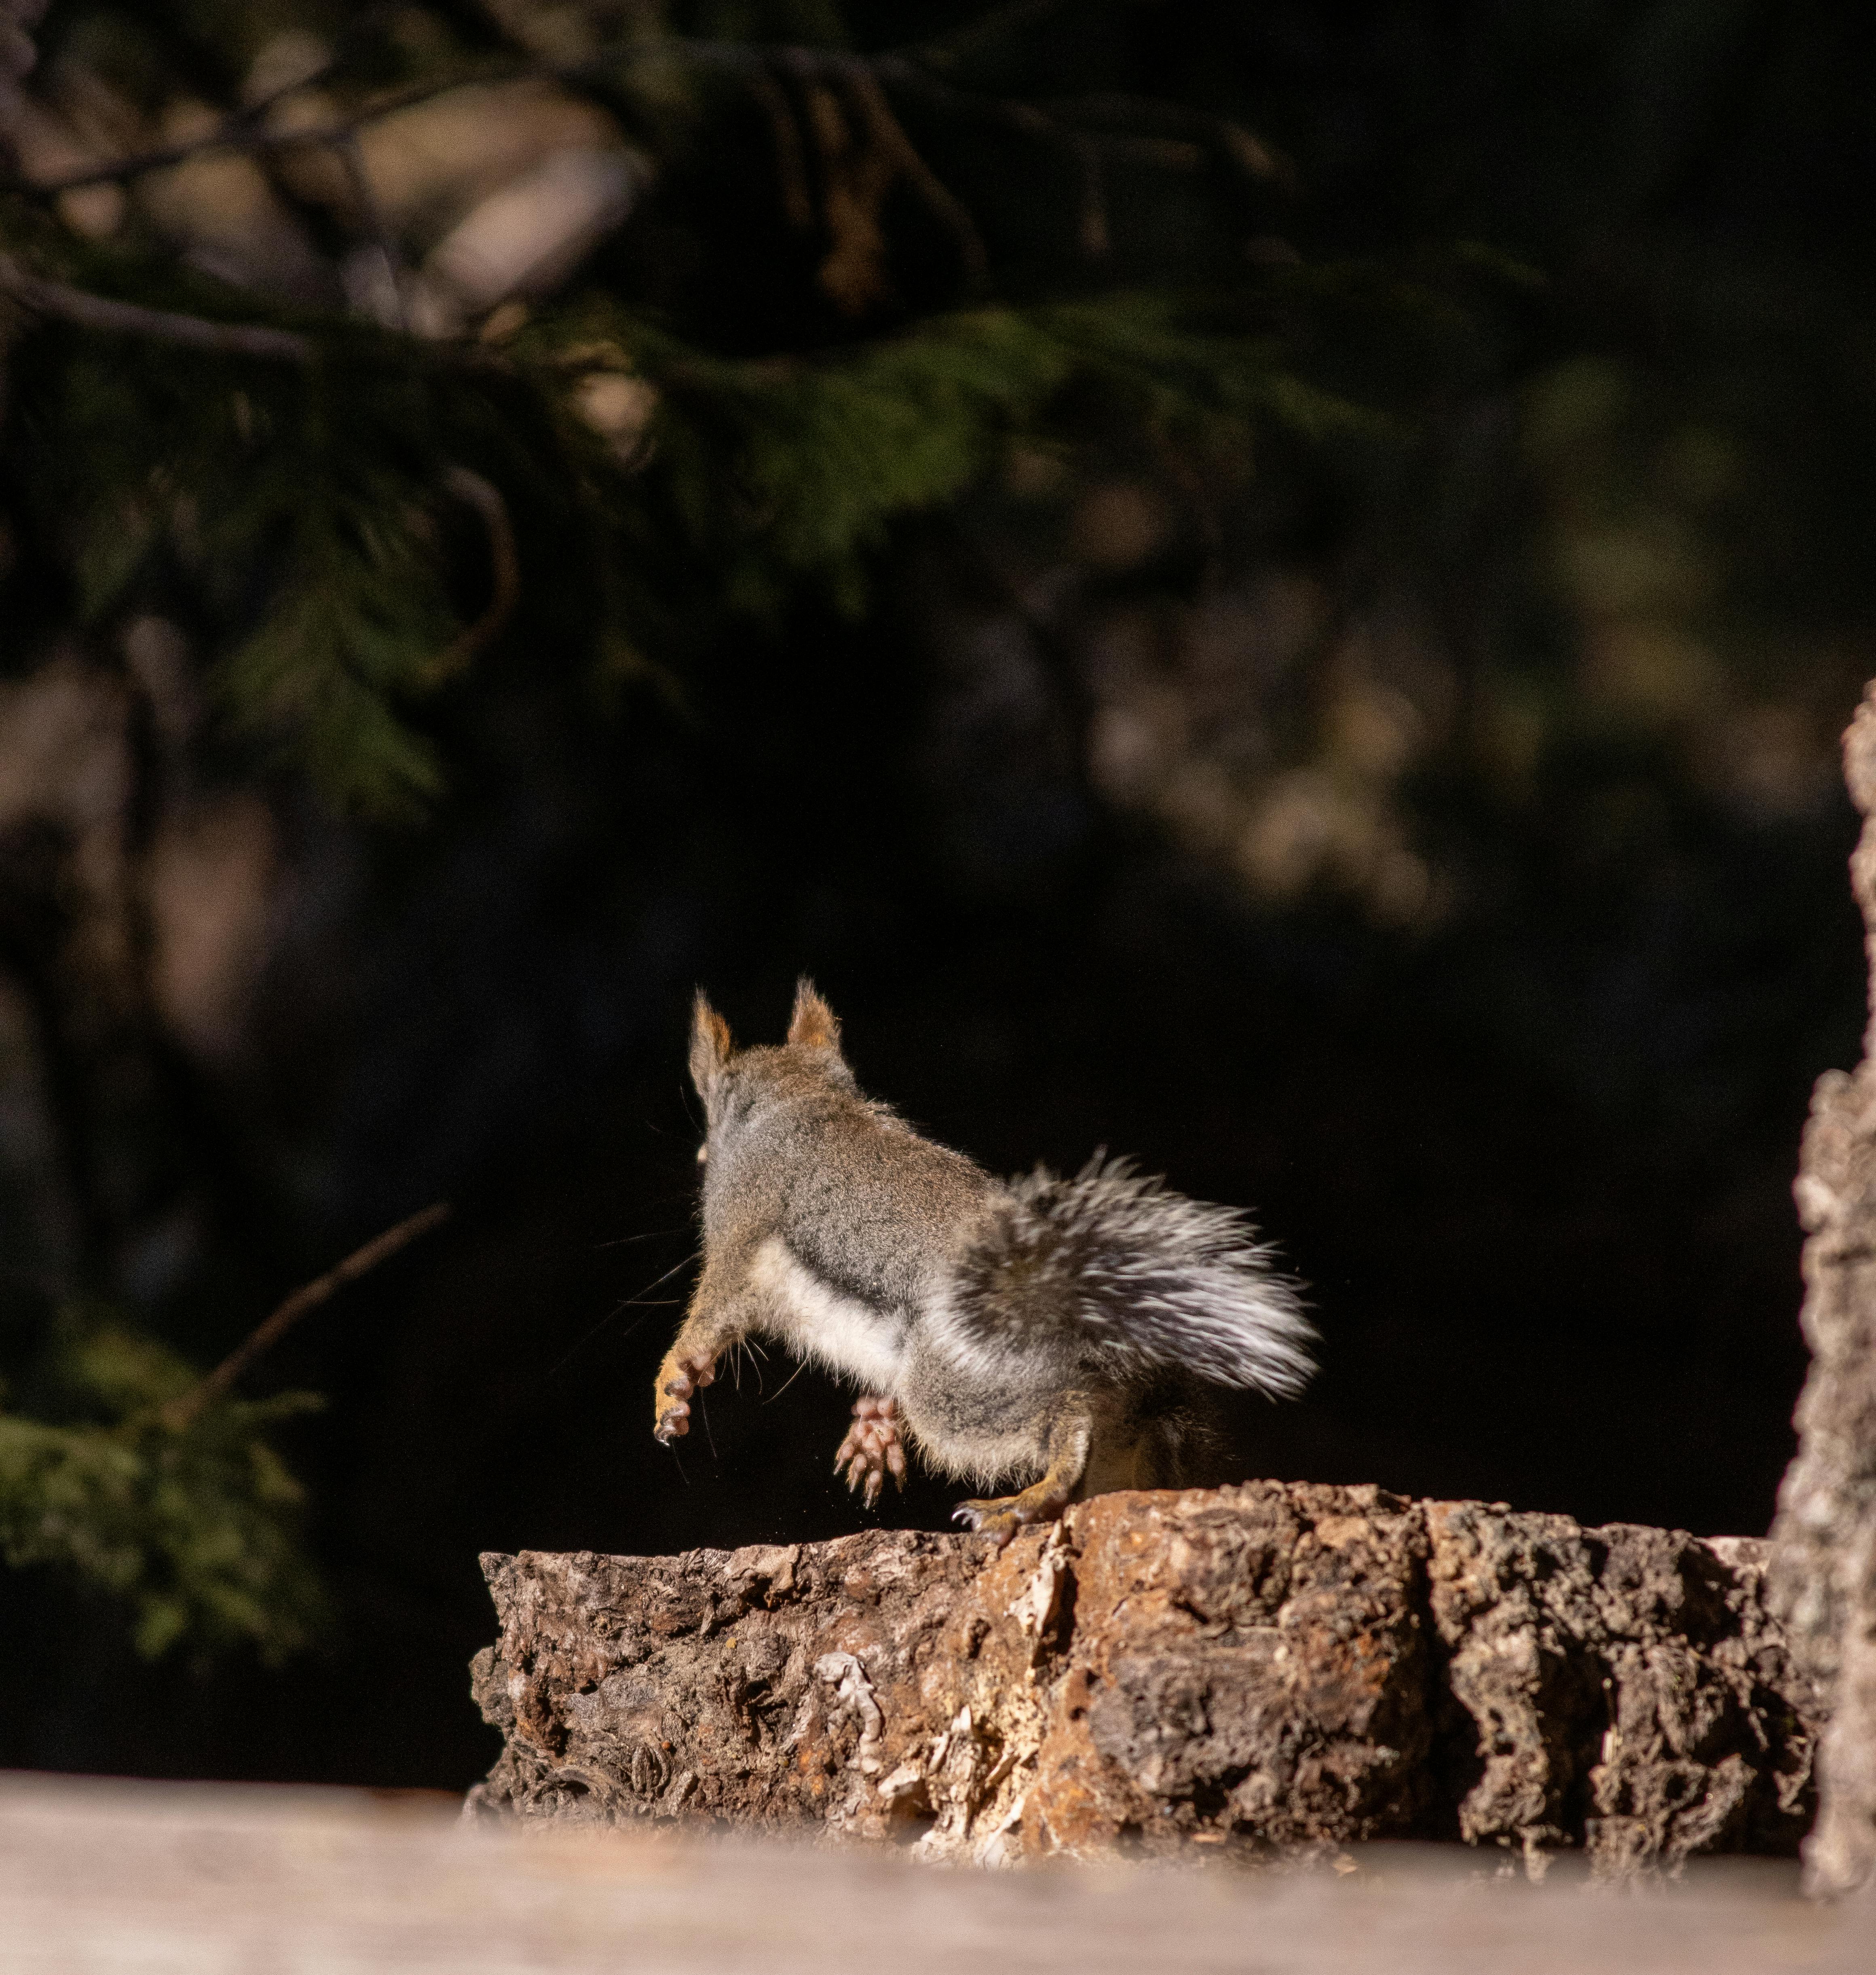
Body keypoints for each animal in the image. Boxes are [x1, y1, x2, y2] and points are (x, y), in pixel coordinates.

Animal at [652, 981, 1314, 1544]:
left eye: (704, 1153)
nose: (703, 1157)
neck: (799, 1100)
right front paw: (874, 1429)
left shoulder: (742, 1230)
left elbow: (709, 1318)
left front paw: (672, 1387)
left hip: (958, 1382)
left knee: (1067, 1422)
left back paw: (1021, 1502)